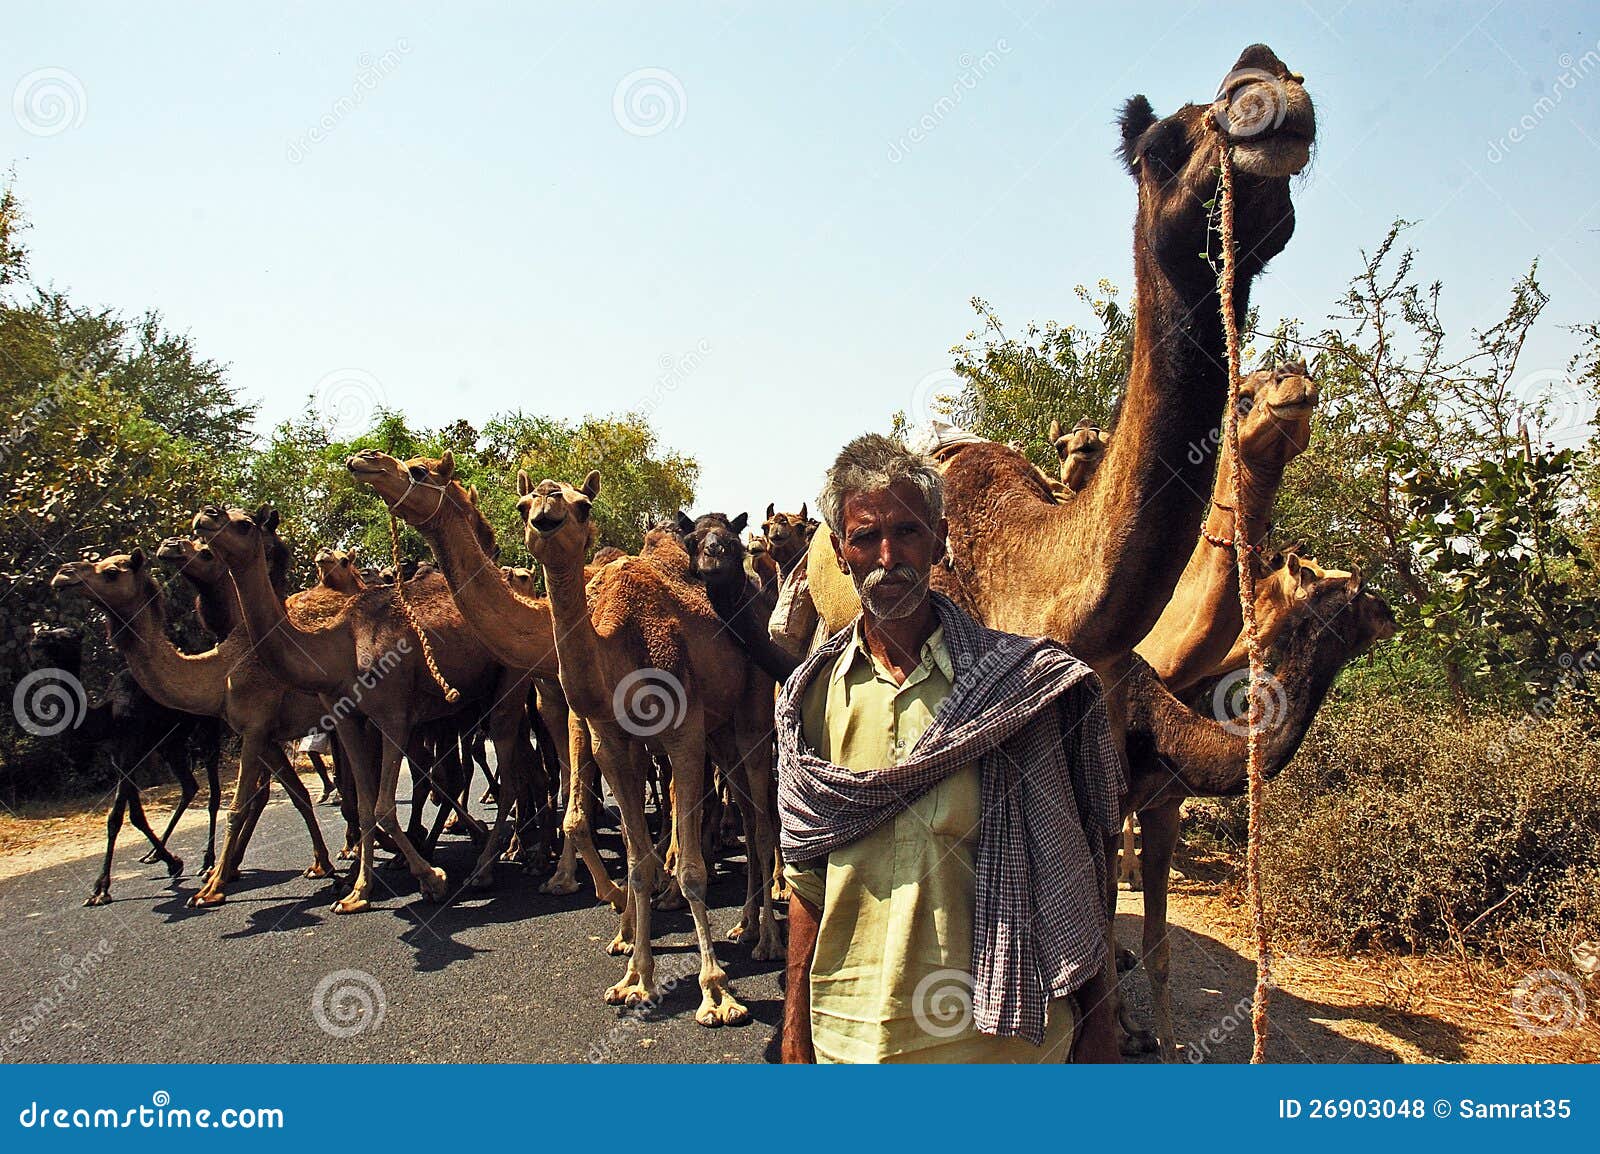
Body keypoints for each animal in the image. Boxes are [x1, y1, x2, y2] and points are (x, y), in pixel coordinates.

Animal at [50, 541, 337, 906]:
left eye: (112, 572)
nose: (63, 573)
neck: (219, 671)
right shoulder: (264, 734)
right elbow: (296, 794)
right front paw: (321, 864)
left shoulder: (255, 728)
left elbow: (237, 806)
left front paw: (210, 888)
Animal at [189, 505, 535, 912]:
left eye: (243, 524)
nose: (206, 514)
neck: (340, 645)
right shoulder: (347, 719)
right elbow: (366, 803)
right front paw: (358, 892)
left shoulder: (393, 715)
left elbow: (384, 804)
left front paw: (432, 879)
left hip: (509, 683)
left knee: (510, 776)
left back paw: (485, 867)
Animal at [519, 469, 782, 1025]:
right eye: (522, 505)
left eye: (582, 506)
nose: (547, 506)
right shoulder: (612, 745)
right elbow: (639, 866)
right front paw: (635, 981)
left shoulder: (683, 734)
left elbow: (691, 869)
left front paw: (716, 994)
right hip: (721, 735)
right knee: (747, 813)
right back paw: (746, 926)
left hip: (751, 716)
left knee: (762, 820)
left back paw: (768, 940)